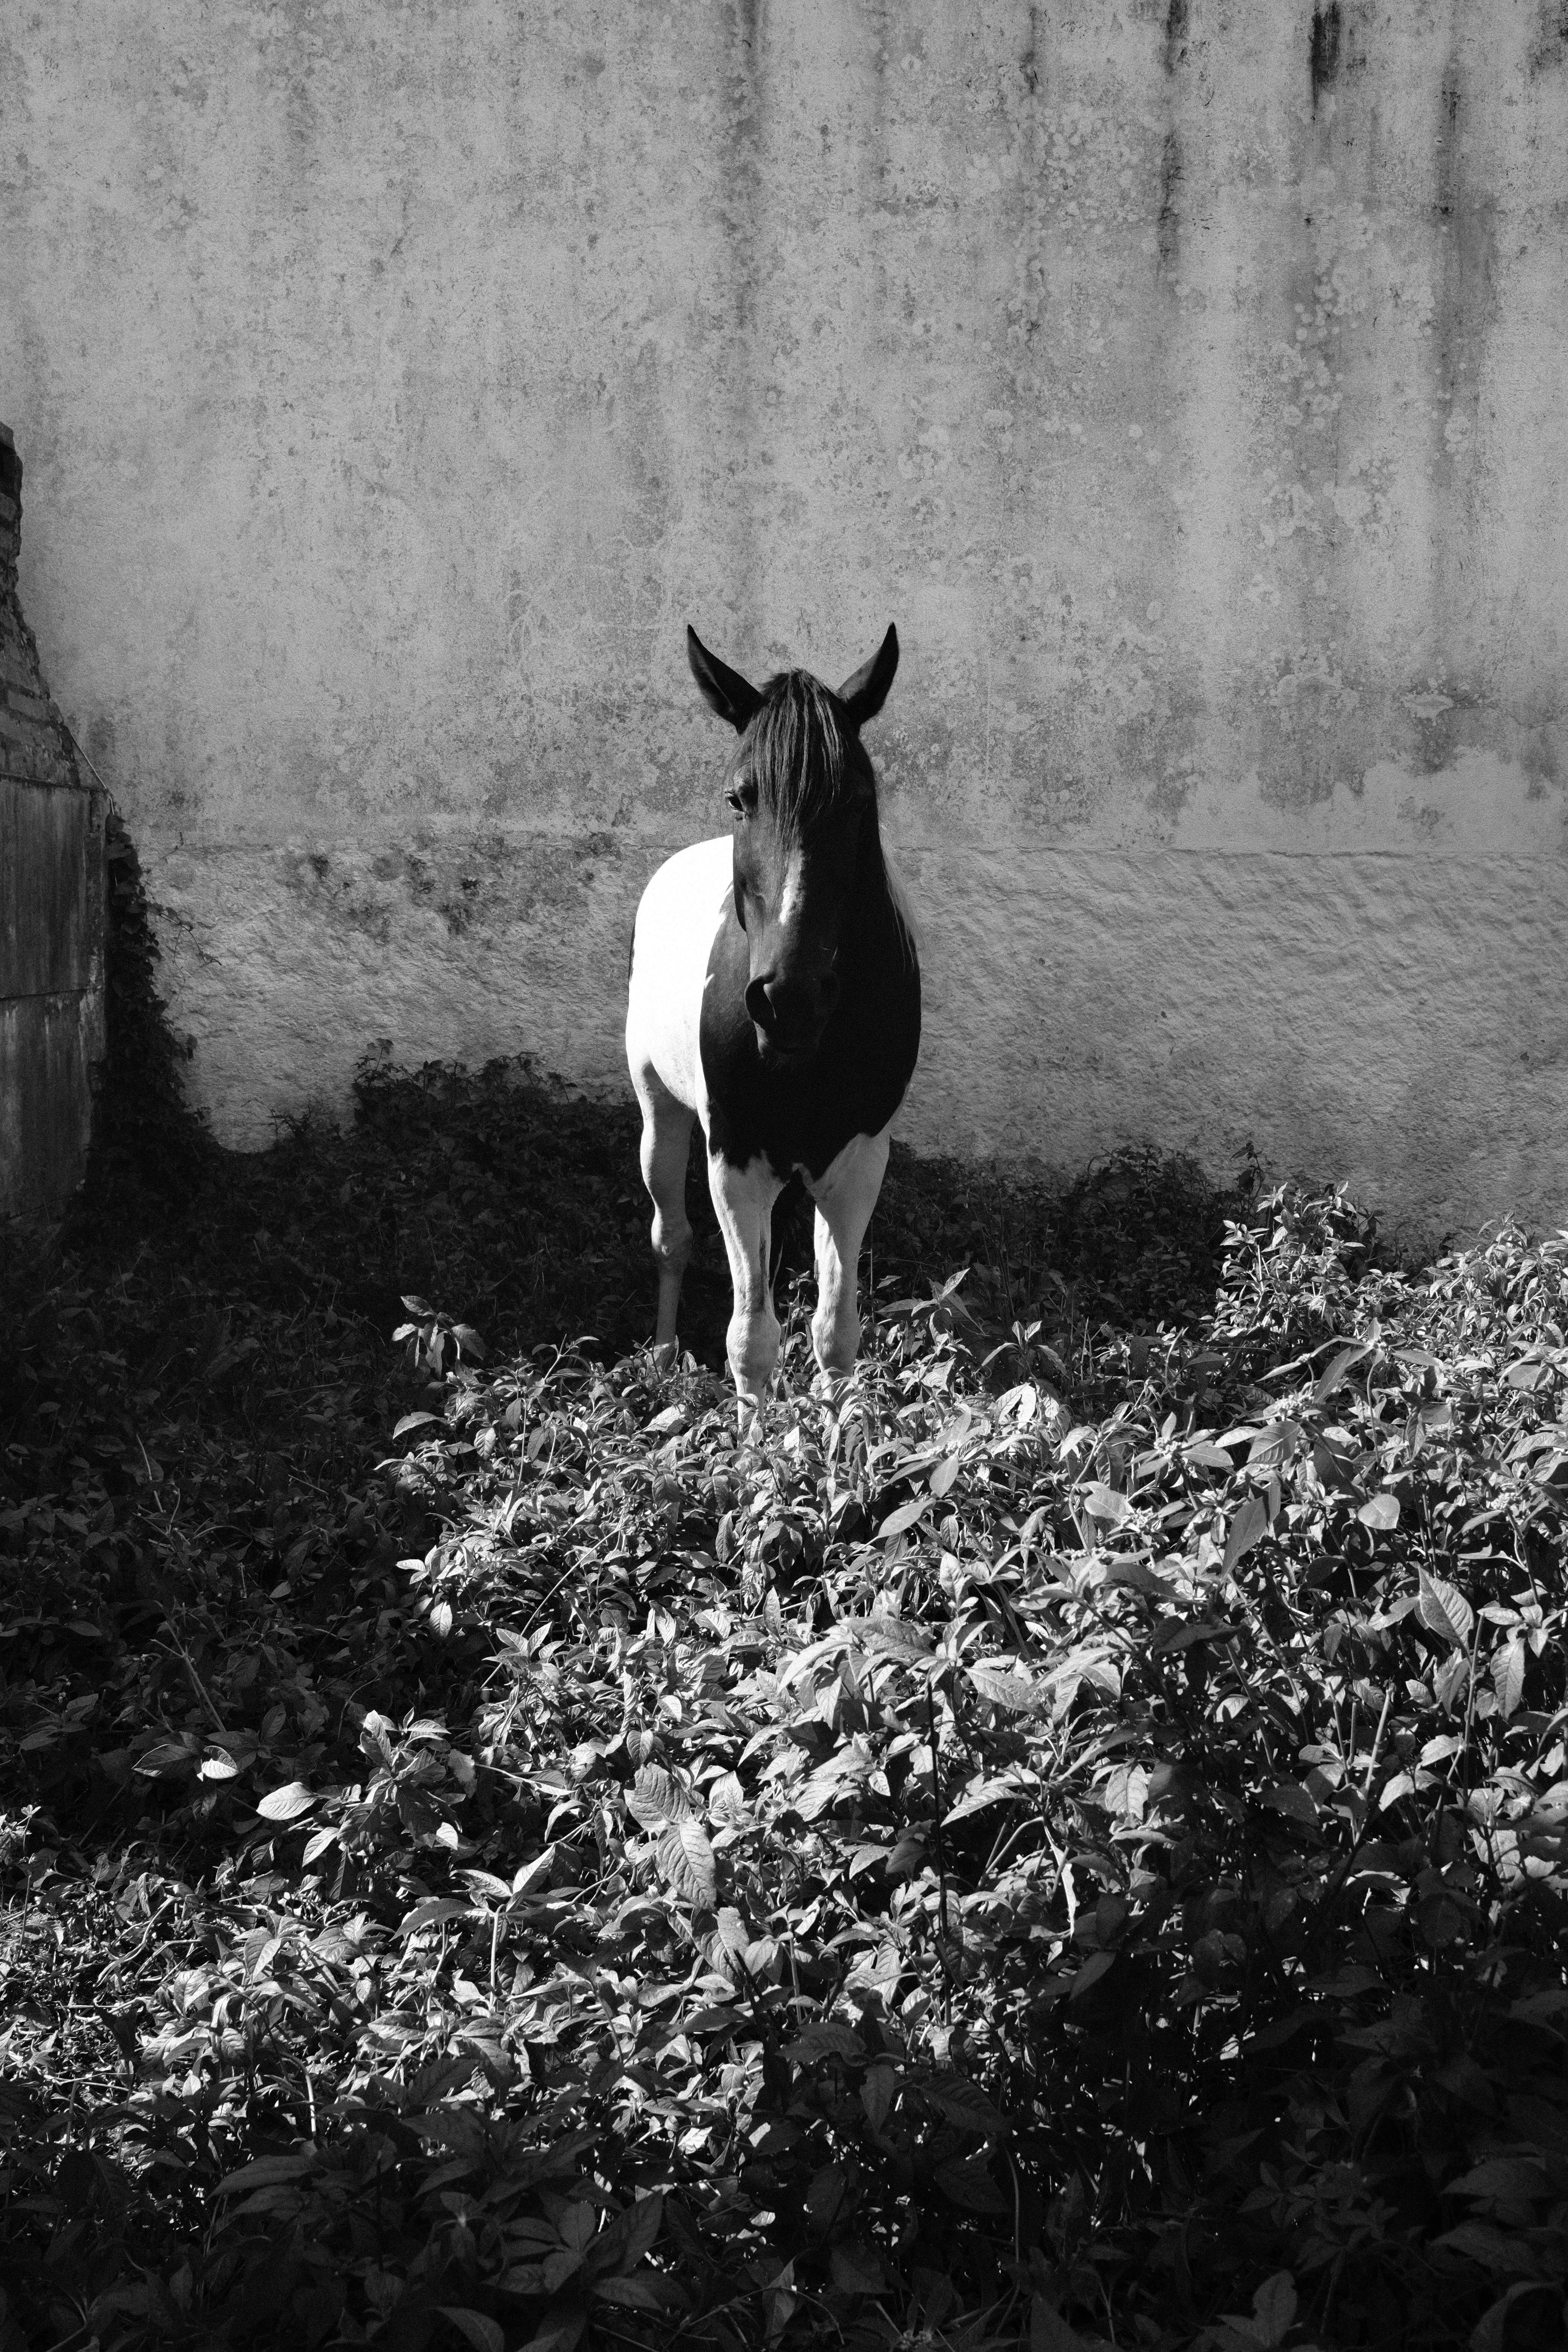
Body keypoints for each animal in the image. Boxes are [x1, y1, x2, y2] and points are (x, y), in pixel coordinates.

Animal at [625, 624, 921, 1409]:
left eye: (857, 799)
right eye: (739, 798)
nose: (789, 998)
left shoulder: (857, 1159)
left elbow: (834, 1331)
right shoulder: (736, 1161)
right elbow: (750, 1339)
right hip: (658, 1109)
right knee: (670, 1237)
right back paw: (661, 1359)